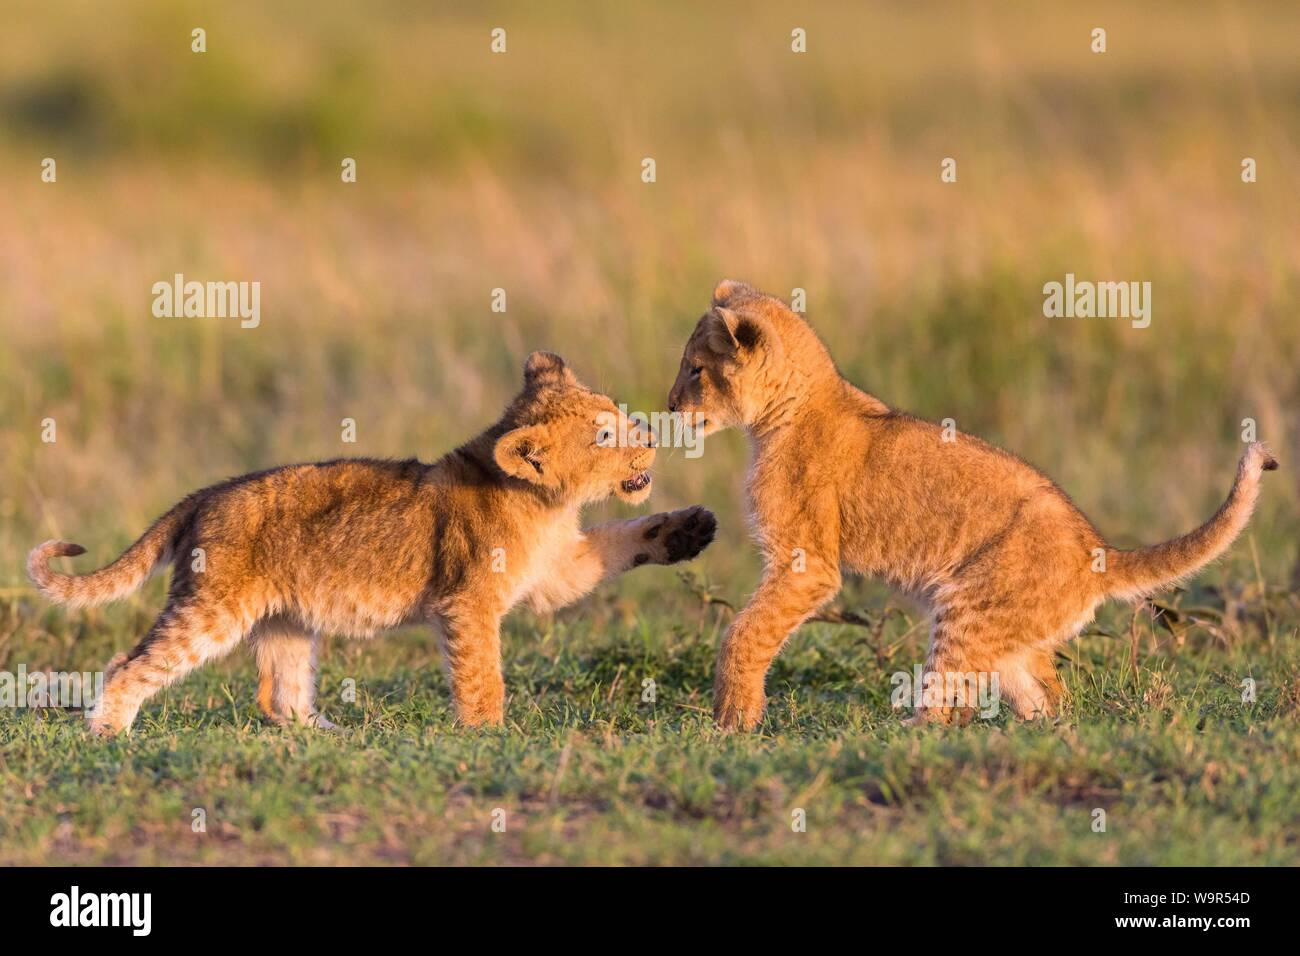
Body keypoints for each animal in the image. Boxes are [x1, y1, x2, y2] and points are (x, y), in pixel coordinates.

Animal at [30, 351, 716, 735]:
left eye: (617, 413)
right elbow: (481, 672)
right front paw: (490, 734)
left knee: (279, 696)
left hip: (285, 620)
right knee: (130, 663)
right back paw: (108, 731)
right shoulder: (467, 601)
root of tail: (207, 493)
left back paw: (335, 735)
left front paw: (691, 528)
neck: (548, 503)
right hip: (213, 608)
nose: (651, 437)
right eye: (604, 433)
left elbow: (618, 540)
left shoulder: (557, 569)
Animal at [667, 280, 1276, 730]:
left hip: (967, 611)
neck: (787, 409)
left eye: (696, 369)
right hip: (1007, 633)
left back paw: (901, 736)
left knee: (946, 709)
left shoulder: (806, 566)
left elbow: (744, 634)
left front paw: (731, 723)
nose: (669, 406)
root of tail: (1095, 550)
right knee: (1048, 698)